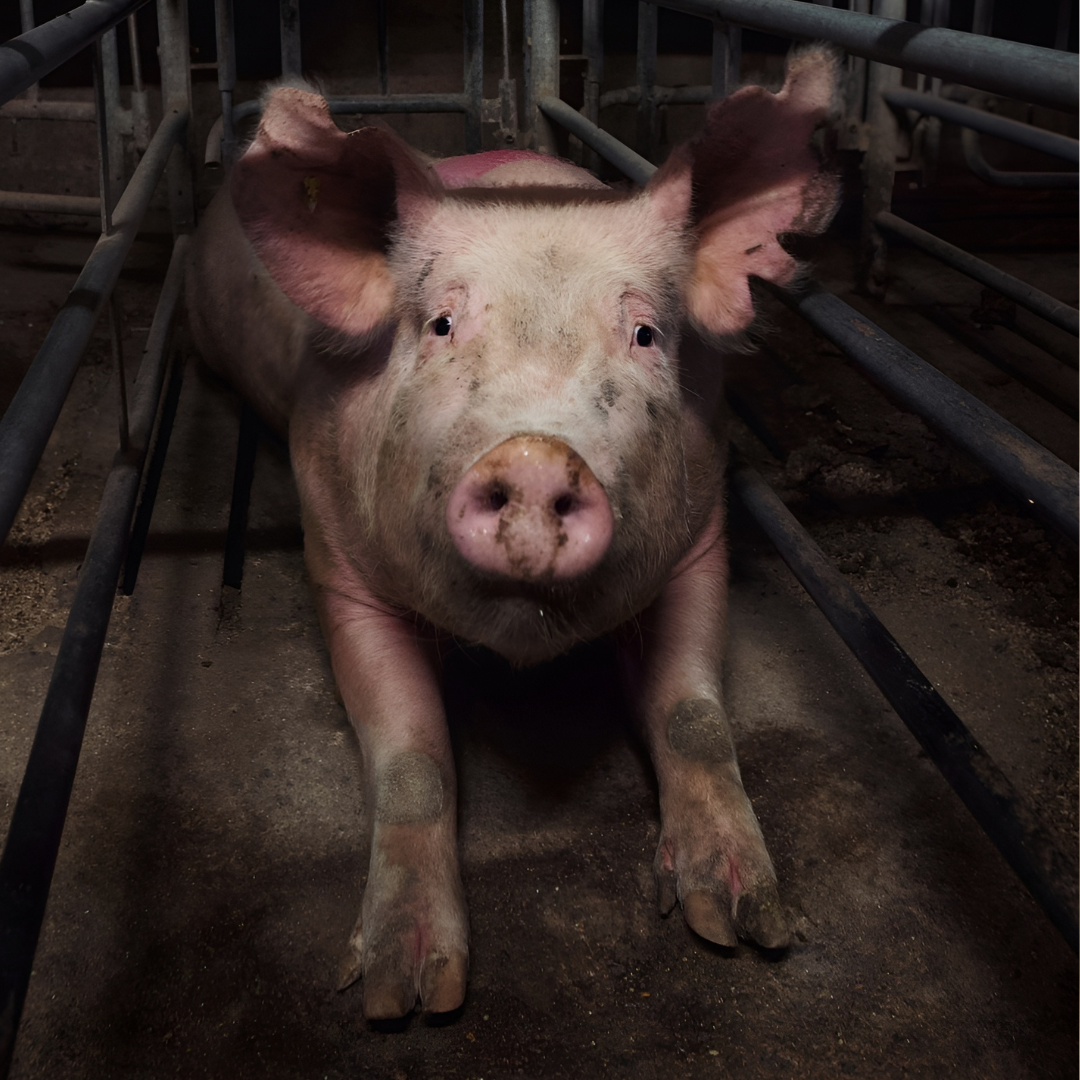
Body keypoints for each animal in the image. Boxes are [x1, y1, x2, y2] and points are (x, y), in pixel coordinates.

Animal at [185, 48, 839, 1020]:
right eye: (442, 324)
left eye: (645, 333)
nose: (536, 455)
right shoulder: (337, 561)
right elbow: (413, 761)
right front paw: (405, 994)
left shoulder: (701, 538)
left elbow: (692, 716)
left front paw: (746, 924)